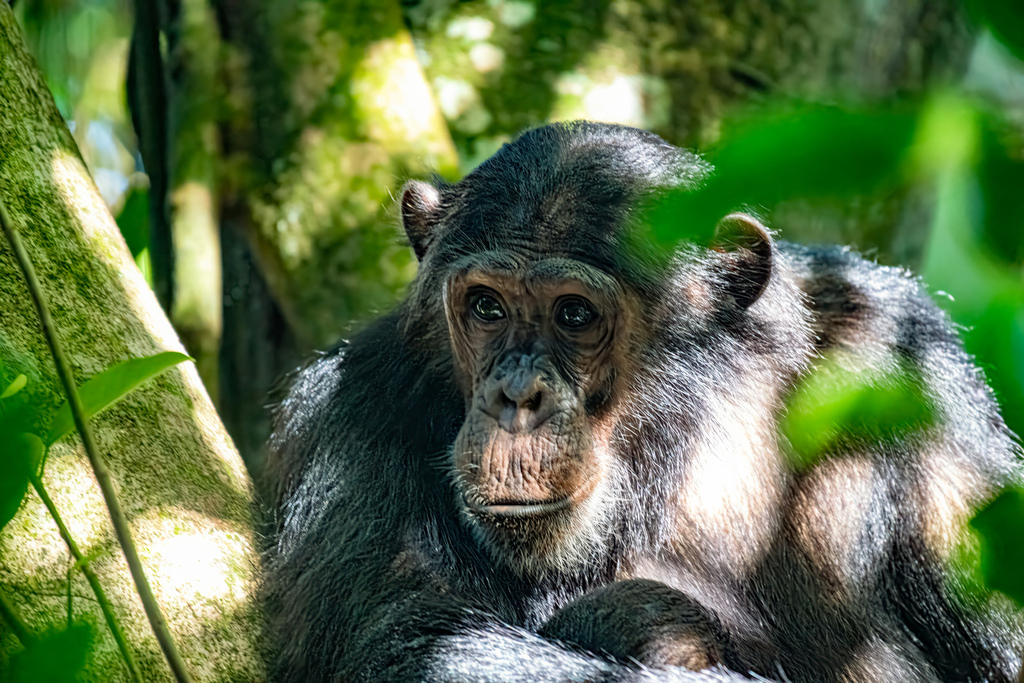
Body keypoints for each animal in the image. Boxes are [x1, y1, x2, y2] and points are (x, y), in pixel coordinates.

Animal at [261, 121, 1023, 682]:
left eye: (574, 314)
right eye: (486, 306)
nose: (515, 393)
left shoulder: (903, 358)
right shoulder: (346, 420)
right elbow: (416, 641)